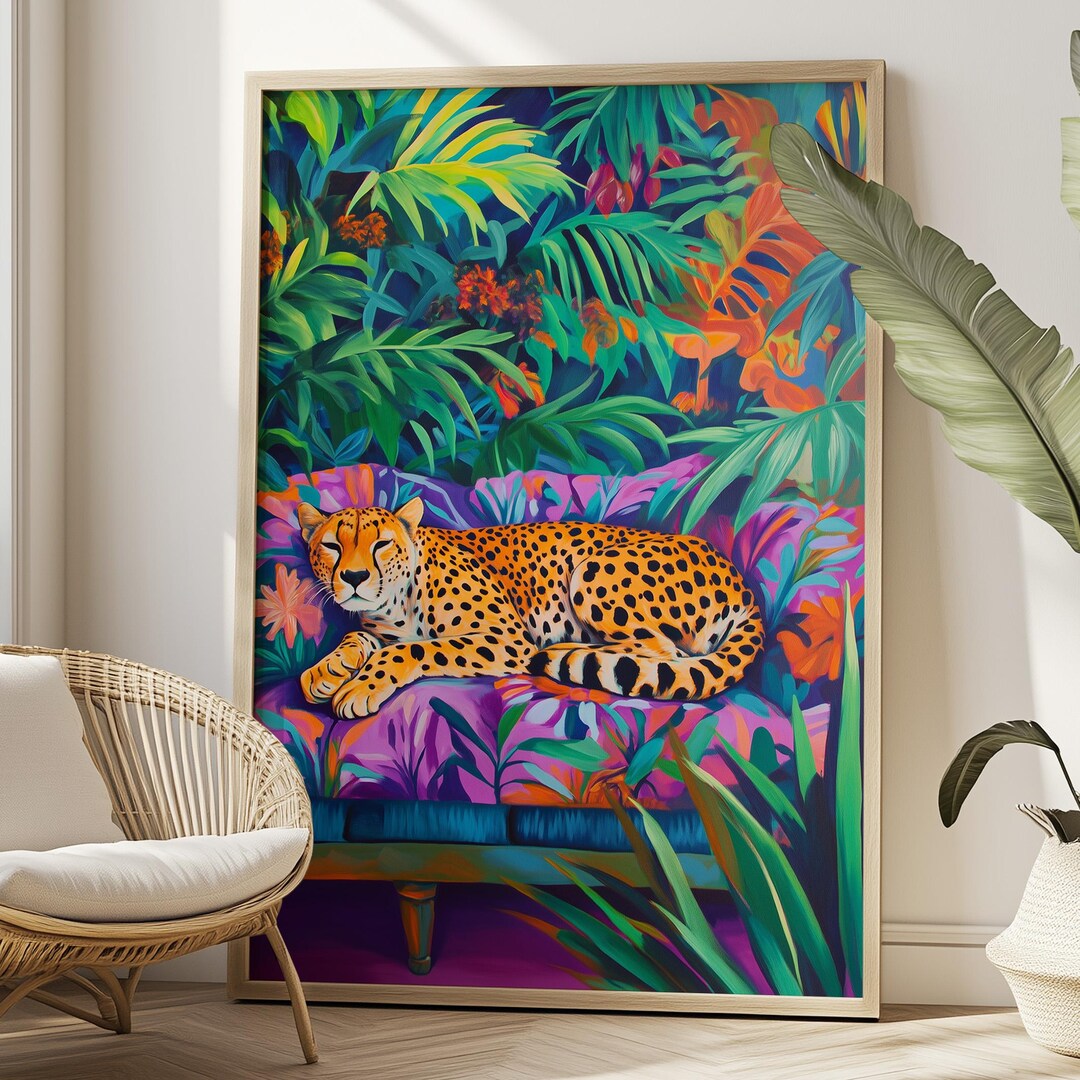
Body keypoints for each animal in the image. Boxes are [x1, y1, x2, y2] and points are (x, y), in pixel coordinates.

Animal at [296, 497, 764, 719]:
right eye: (332, 545)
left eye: (381, 544)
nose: (354, 577)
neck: (397, 599)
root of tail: (740, 582)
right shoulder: (376, 627)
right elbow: (357, 636)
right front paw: (324, 672)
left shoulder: (507, 637)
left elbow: (414, 648)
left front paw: (359, 688)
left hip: (591, 572)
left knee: (668, 654)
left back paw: (566, 652)